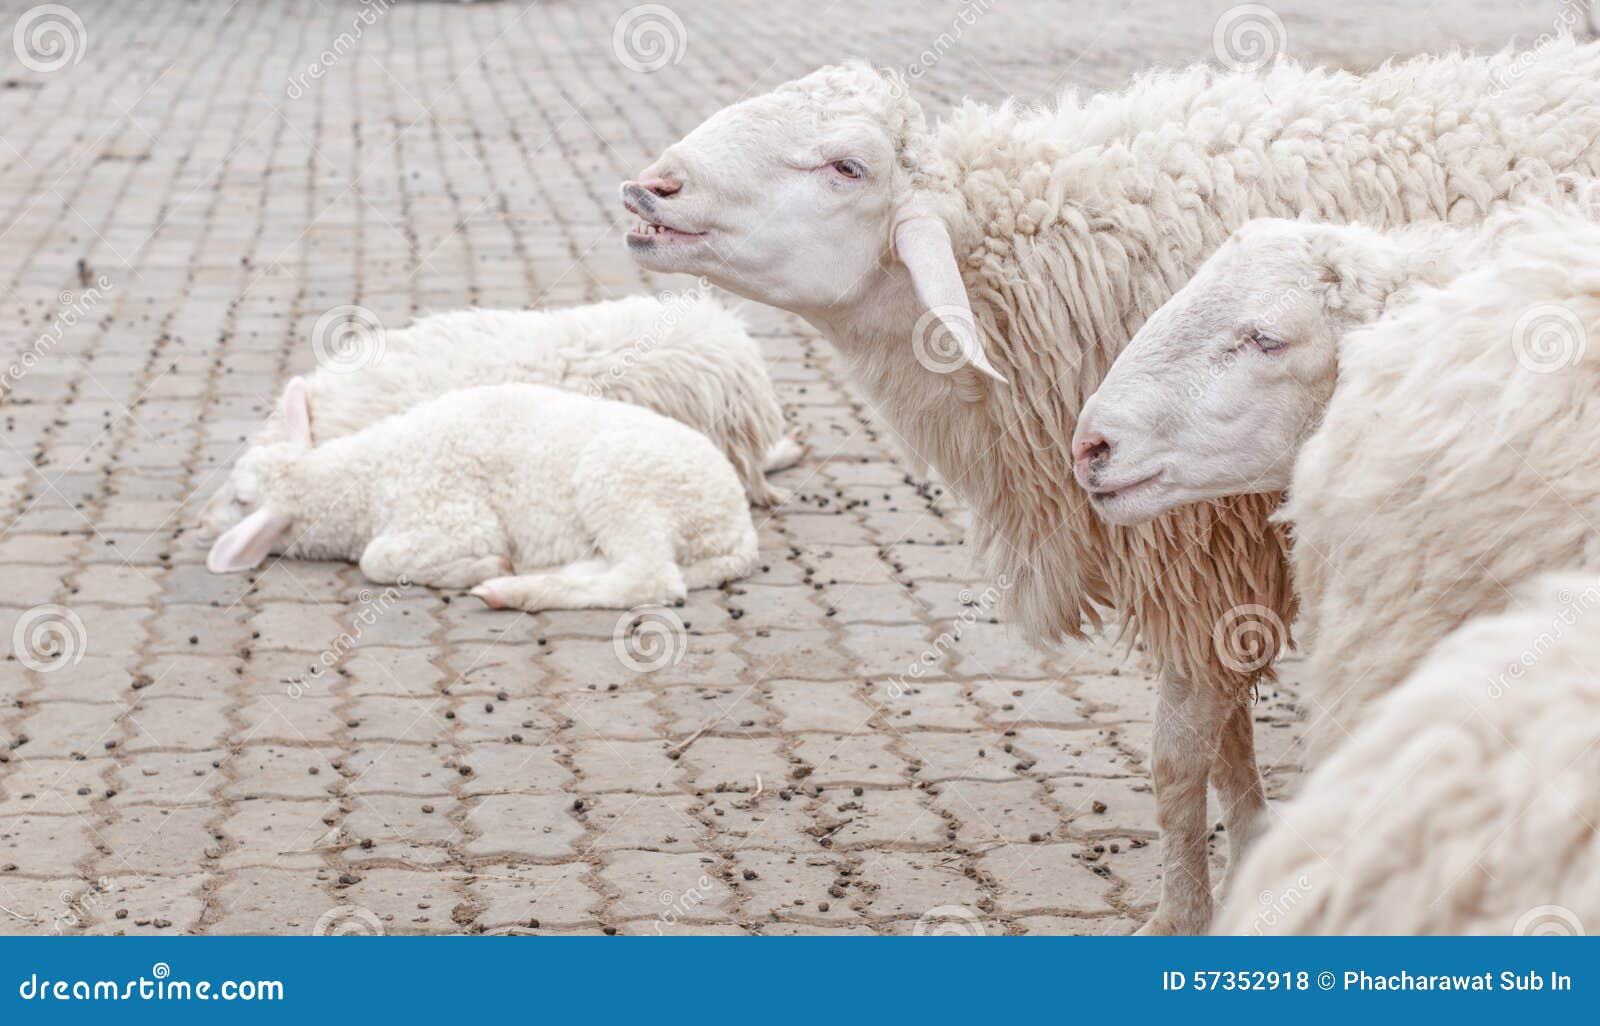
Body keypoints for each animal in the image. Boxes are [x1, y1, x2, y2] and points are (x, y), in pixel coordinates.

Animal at [205, 378, 759, 612]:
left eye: (240, 499)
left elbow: (376, 560)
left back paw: (512, 590)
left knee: (650, 580)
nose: (200, 522)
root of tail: (738, 530)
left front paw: (485, 565)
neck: (361, 476)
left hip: (621, 480)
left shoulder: (452, 516)